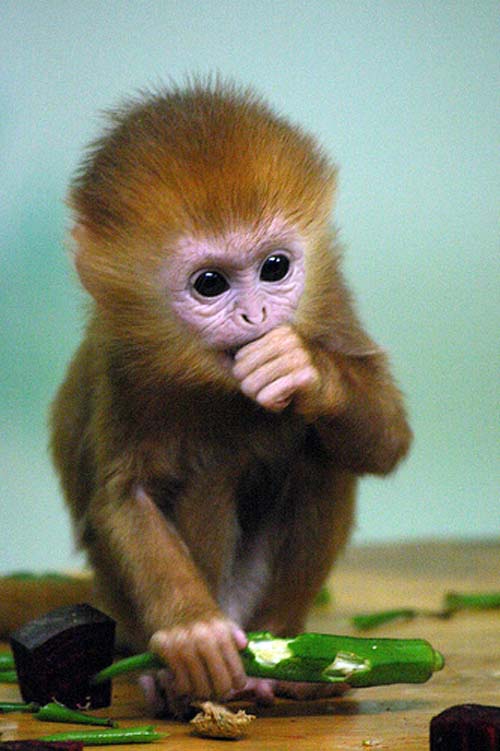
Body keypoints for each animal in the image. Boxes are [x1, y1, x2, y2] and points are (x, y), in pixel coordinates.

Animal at [50, 79, 412, 715]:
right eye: (210, 283)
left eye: (275, 267)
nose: (256, 316)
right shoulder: (120, 359)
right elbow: (124, 498)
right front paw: (192, 631)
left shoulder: (329, 302)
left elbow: (388, 441)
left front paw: (305, 370)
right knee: (209, 471)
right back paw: (181, 681)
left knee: (321, 456)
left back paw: (287, 659)